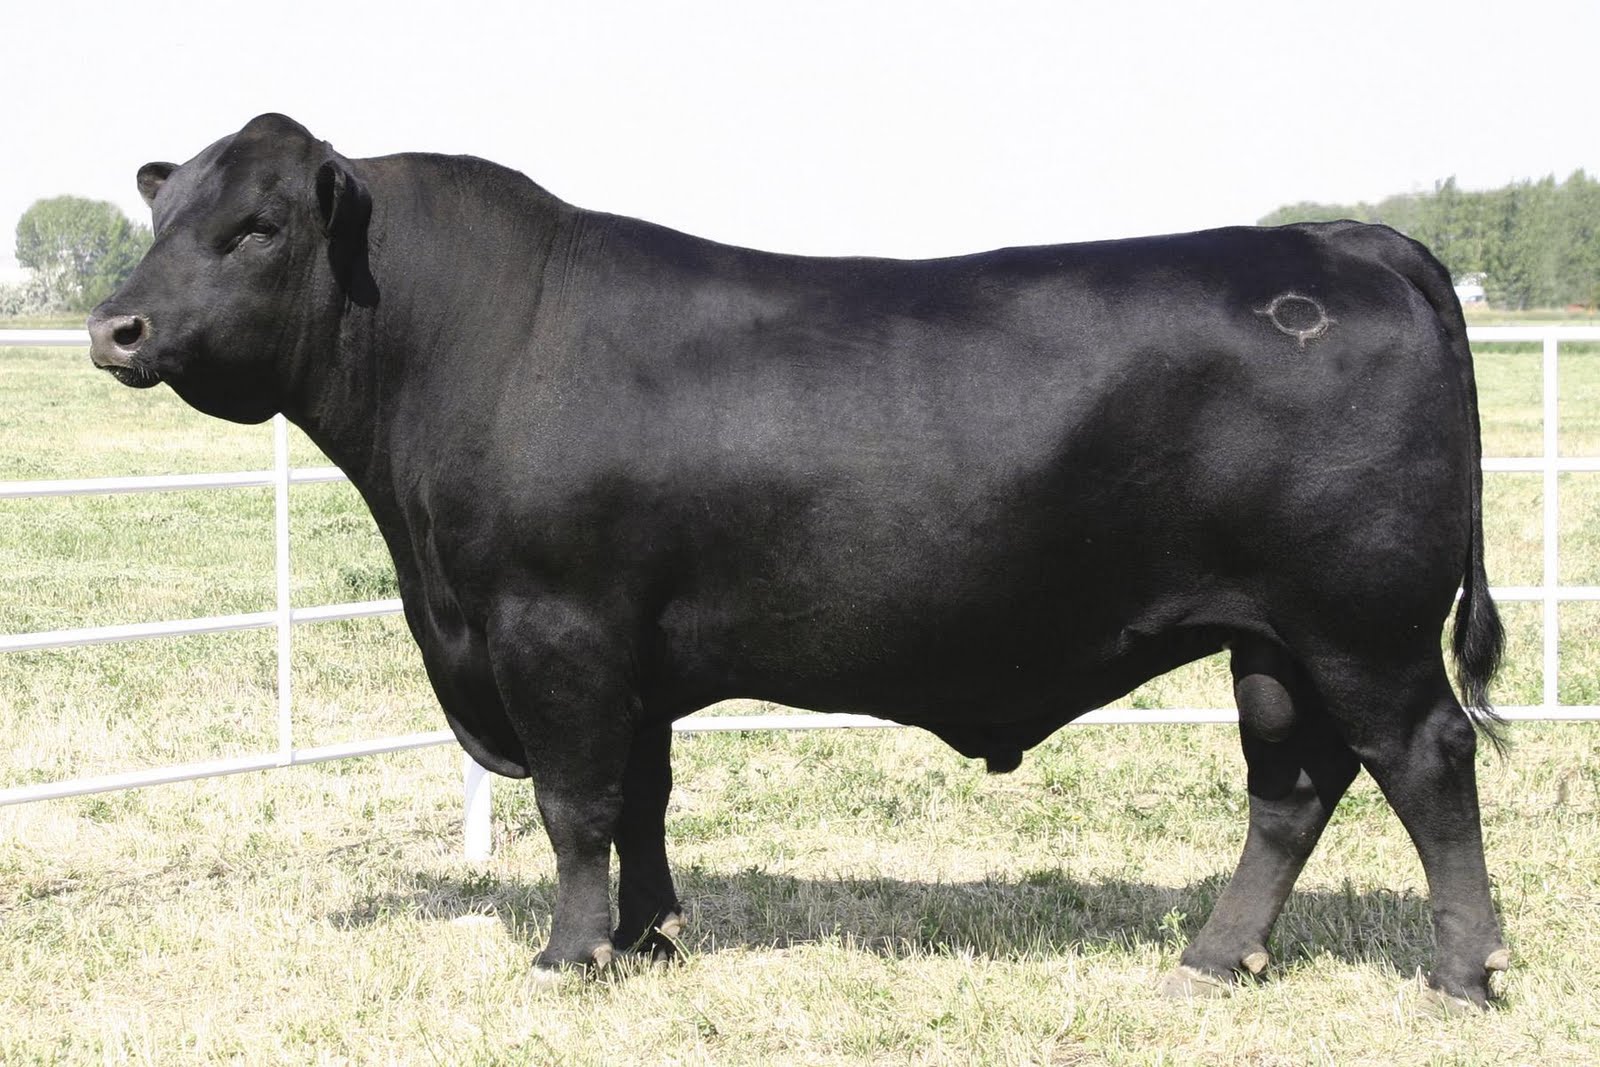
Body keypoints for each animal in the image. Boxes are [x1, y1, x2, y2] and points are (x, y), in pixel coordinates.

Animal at [87, 114, 1509, 1008]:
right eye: (164, 209)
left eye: (259, 226)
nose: (117, 327)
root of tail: (1341, 239)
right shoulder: (631, 653)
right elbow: (644, 800)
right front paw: (649, 937)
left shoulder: (555, 630)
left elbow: (576, 806)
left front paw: (568, 956)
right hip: (1271, 637)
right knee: (1292, 786)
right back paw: (1214, 959)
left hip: (1361, 623)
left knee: (1424, 761)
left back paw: (1463, 973)